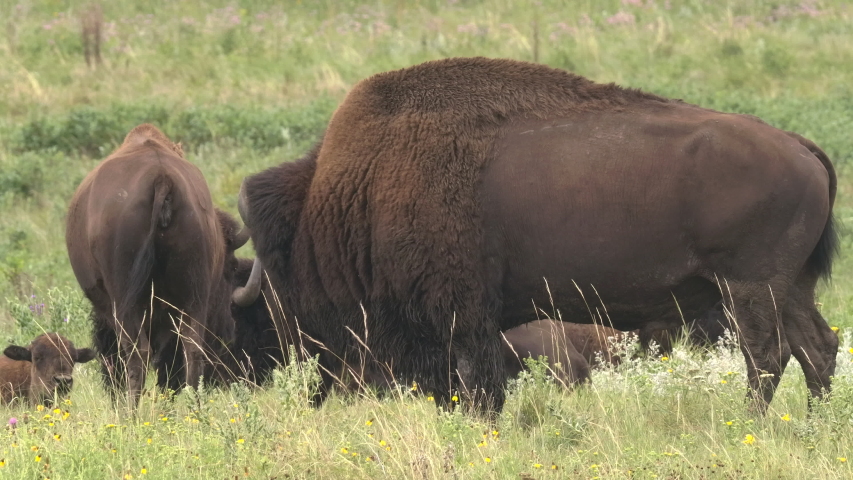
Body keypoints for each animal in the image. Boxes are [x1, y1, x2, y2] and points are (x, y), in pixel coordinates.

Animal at [66, 124, 256, 403]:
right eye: (230, 267)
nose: (228, 332)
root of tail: (162, 179)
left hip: (127, 303)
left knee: (137, 355)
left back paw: (129, 411)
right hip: (192, 298)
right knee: (191, 350)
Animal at [235, 57, 837, 414]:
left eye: (279, 269)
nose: (286, 350)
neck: (354, 191)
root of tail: (799, 145)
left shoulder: (463, 320)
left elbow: (479, 387)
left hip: (749, 288)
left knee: (768, 356)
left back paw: (752, 420)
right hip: (789, 288)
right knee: (817, 348)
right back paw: (814, 425)